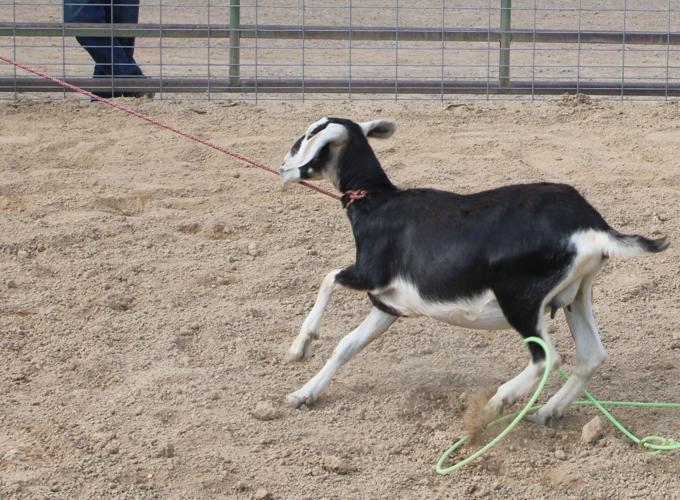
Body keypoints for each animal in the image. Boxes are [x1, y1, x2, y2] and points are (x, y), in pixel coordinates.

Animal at [278, 117, 669, 425]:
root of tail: (592, 229)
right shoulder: (389, 304)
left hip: (520, 300)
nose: (283, 166)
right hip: (577, 294)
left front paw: (300, 347)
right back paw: (547, 412)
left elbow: (327, 277)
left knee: (547, 357)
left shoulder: (369, 274)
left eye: (308, 134)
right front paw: (301, 395)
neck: (378, 203)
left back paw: (497, 402)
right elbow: (347, 344)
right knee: (591, 355)